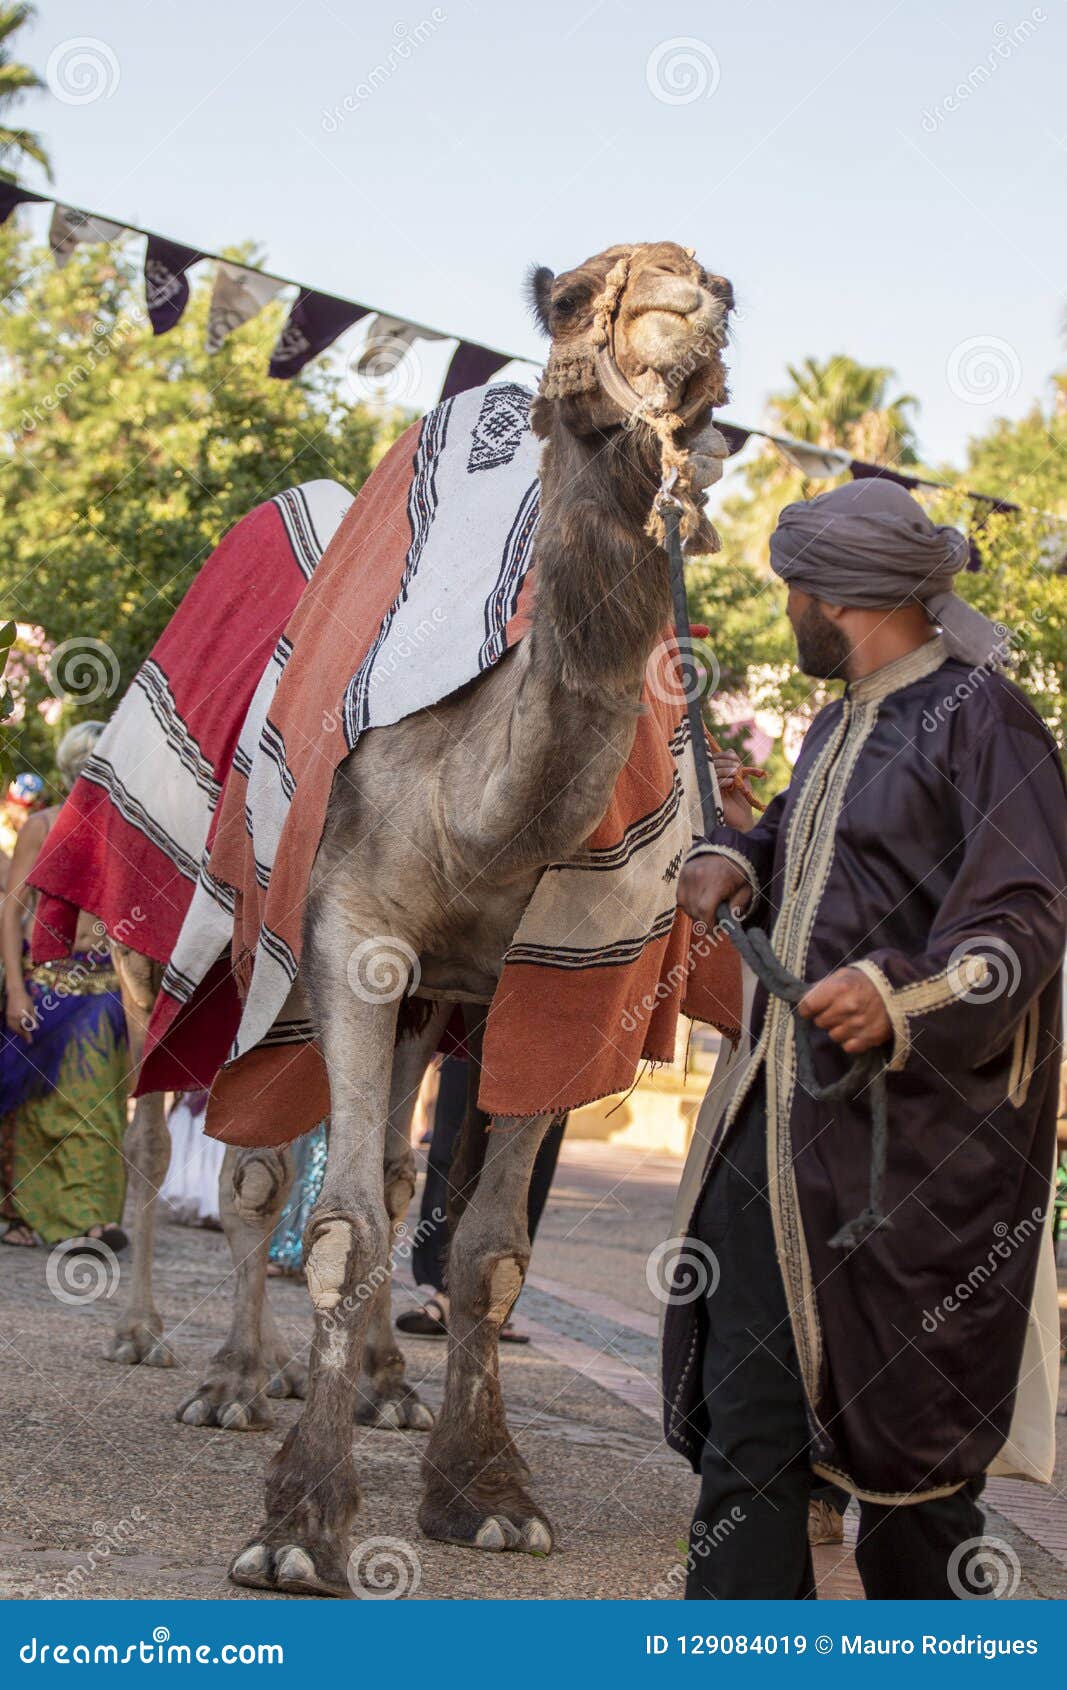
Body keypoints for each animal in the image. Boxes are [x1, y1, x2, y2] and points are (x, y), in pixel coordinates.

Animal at [216, 240, 736, 1596]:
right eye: (576, 300)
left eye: (721, 289)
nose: (685, 296)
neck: (482, 815)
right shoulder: (349, 936)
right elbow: (340, 1228)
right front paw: (299, 1522)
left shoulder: (550, 986)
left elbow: (490, 1248)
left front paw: (488, 1490)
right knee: (246, 1160)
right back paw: (226, 1379)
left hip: (431, 1006)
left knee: (402, 1173)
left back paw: (384, 1391)